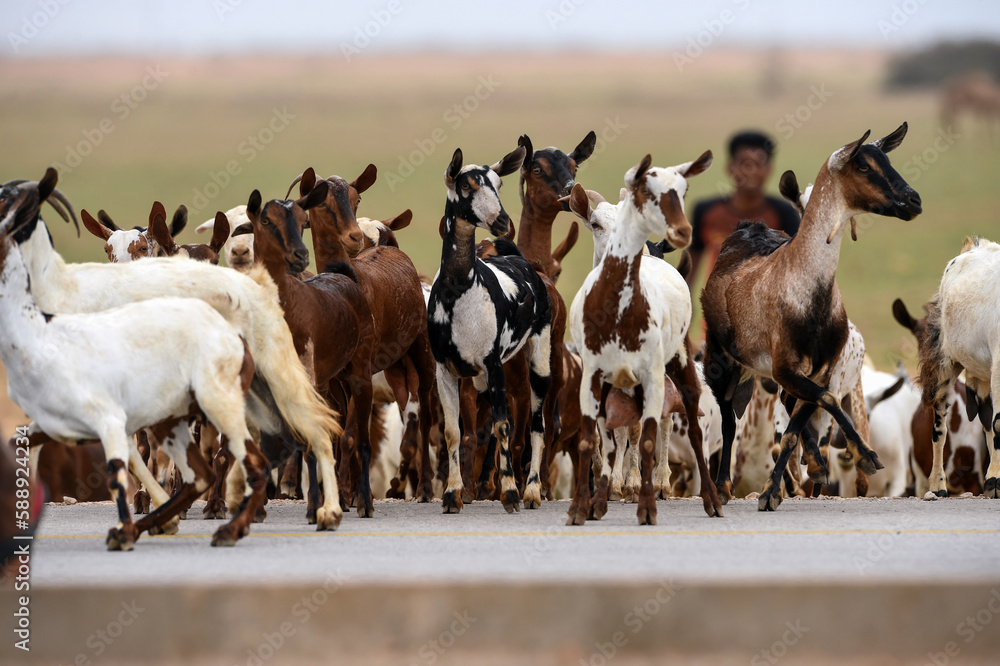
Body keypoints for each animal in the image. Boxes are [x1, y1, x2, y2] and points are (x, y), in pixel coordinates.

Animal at [428, 145, 554, 514]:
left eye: (498, 182)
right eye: (466, 184)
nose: (502, 222)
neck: (461, 291)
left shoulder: (492, 363)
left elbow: (502, 426)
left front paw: (510, 493)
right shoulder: (446, 369)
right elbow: (454, 431)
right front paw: (452, 494)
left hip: (537, 362)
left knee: (536, 425)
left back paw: (531, 491)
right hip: (486, 379)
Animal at [568, 151, 721, 526]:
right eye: (595, 223)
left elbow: (638, 430)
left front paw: (633, 484)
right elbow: (604, 432)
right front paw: (606, 487)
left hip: (674, 360)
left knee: (666, 421)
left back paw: (663, 483)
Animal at [702, 123, 922, 511]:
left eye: (887, 158)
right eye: (863, 165)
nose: (914, 201)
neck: (807, 293)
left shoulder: (818, 370)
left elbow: (798, 425)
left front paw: (778, 489)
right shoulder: (784, 368)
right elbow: (822, 405)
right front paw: (865, 456)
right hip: (722, 361)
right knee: (729, 421)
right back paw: (724, 487)